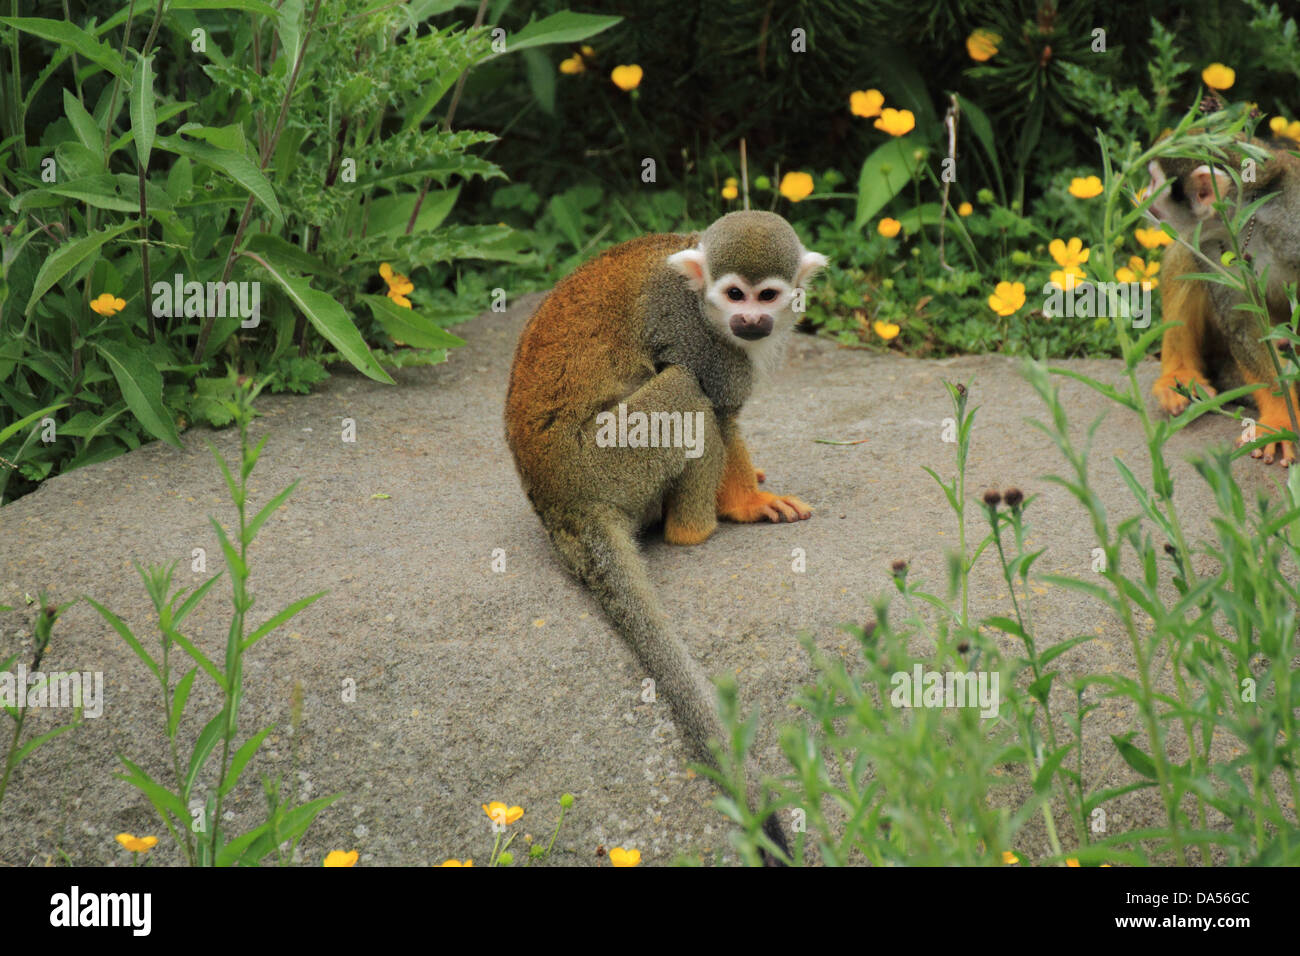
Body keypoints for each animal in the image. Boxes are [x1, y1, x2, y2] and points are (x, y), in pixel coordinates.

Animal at [504, 211, 826, 863]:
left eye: (767, 296)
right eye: (733, 294)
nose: (750, 322)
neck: (700, 298)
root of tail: (559, 506)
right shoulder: (694, 333)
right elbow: (720, 406)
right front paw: (747, 503)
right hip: (609, 461)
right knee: (683, 391)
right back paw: (696, 526)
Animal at [1147, 138, 1300, 465]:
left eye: (1153, 182)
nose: (1142, 196)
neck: (1243, 223)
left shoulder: (1291, 220)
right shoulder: (1209, 245)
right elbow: (1243, 324)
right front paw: (1280, 419)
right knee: (1184, 252)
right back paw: (1179, 374)